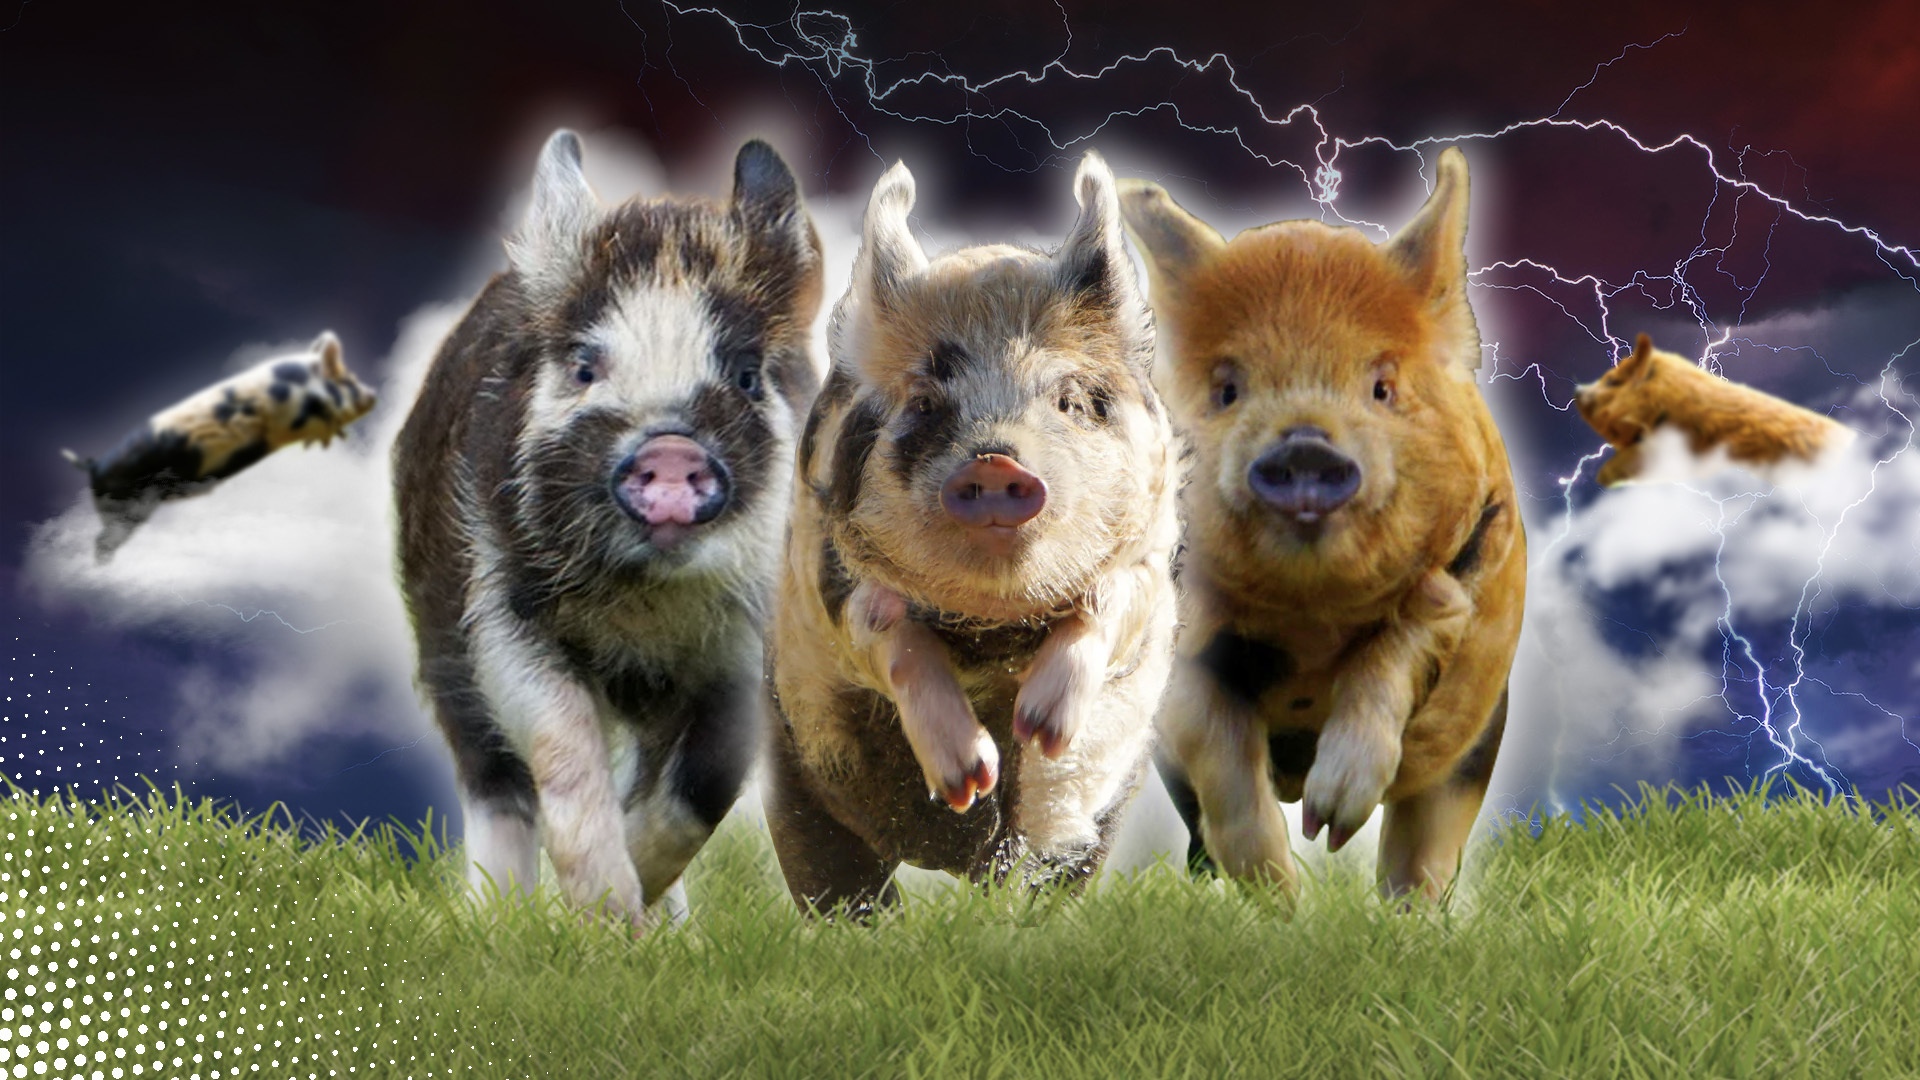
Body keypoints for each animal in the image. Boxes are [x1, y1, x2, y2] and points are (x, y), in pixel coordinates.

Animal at [392, 130, 823, 929]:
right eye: (586, 367)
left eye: (747, 375)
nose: (672, 450)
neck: (647, 611)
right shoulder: (498, 604)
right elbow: (560, 740)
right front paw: (597, 917)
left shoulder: (753, 649)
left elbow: (703, 786)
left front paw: (632, 921)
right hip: (438, 632)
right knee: (491, 776)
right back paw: (496, 923)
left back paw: (673, 932)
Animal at [765, 150, 1180, 918]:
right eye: (926, 403)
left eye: (1069, 400)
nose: (994, 461)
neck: (991, 629)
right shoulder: (828, 571)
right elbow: (889, 630)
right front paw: (969, 775)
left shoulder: (1149, 563)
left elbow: (1106, 605)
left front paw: (1039, 726)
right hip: (795, 778)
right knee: (843, 884)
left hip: (1080, 828)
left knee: (1034, 872)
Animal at [1119, 147, 1526, 903]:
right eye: (1227, 389)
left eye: (1382, 386)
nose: (1306, 443)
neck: (1312, 618)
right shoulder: (1181, 650)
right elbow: (1223, 763)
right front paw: (1284, 901)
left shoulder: (1472, 562)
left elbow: (1396, 649)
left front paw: (1330, 821)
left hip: (1476, 741)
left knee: (1425, 842)